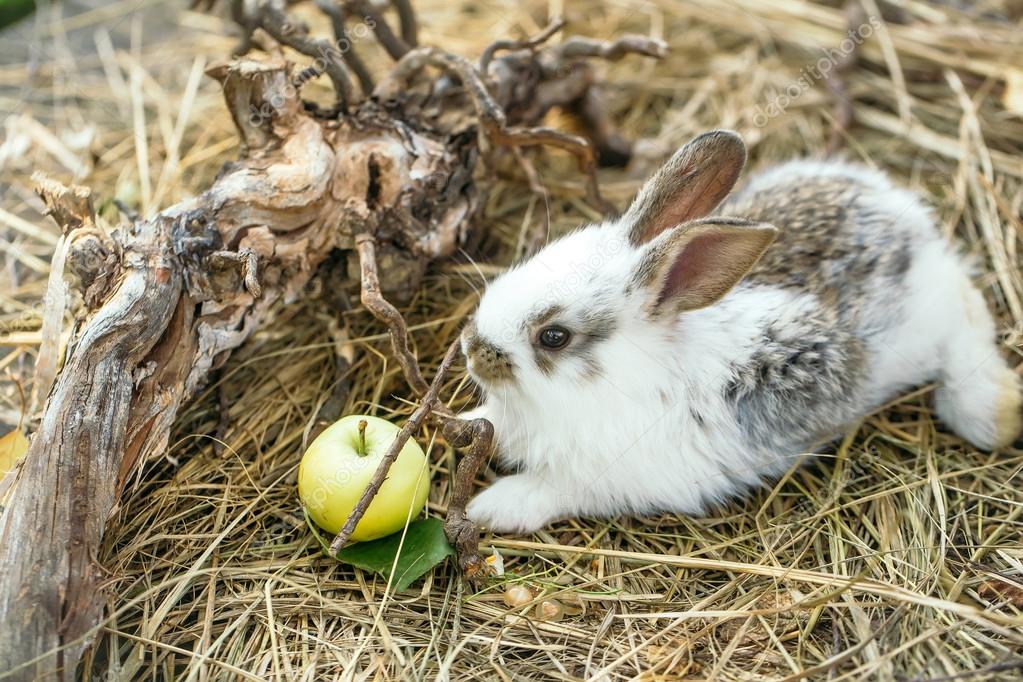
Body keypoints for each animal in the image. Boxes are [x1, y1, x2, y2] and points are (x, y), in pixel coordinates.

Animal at [460, 130, 1023, 533]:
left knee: (968, 320)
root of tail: (906, 218)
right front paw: (463, 425)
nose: (471, 347)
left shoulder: (614, 479)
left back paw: (995, 413)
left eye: (553, 337)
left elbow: (549, 490)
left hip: (935, 324)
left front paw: (489, 509)